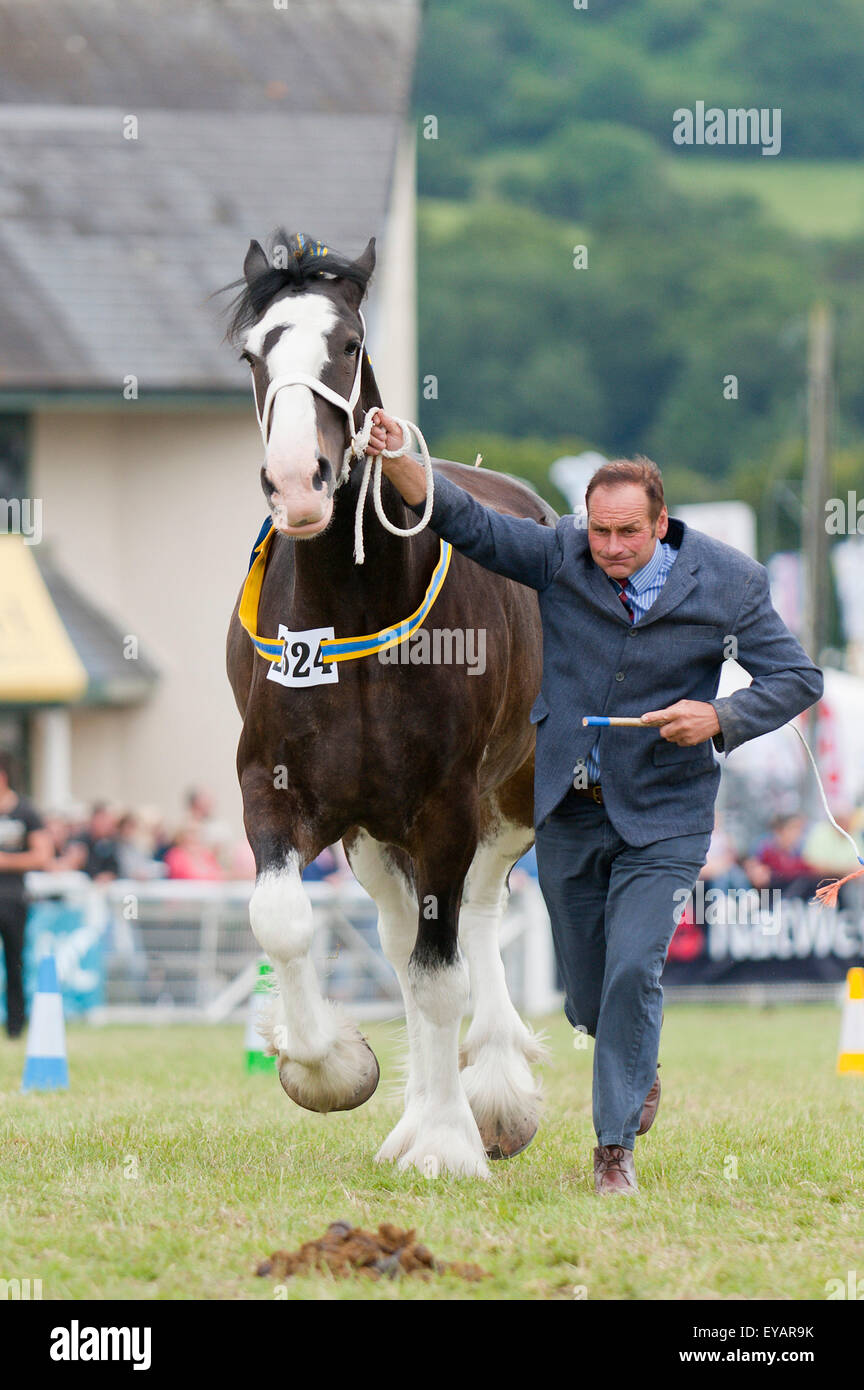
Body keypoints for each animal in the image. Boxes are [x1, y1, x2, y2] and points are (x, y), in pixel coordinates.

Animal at [224, 230, 555, 1178]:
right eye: (253, 353)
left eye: (346, 344)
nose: (297, 481)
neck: (354, 609)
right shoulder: (275, 786)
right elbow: (283, 920)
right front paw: (331, 1067)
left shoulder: (446, 805)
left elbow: (442, 974)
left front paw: (448, 1139)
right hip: (374, 833)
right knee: (400, 930)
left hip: (508, 797)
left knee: (476, 916)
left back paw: (491, 1088)